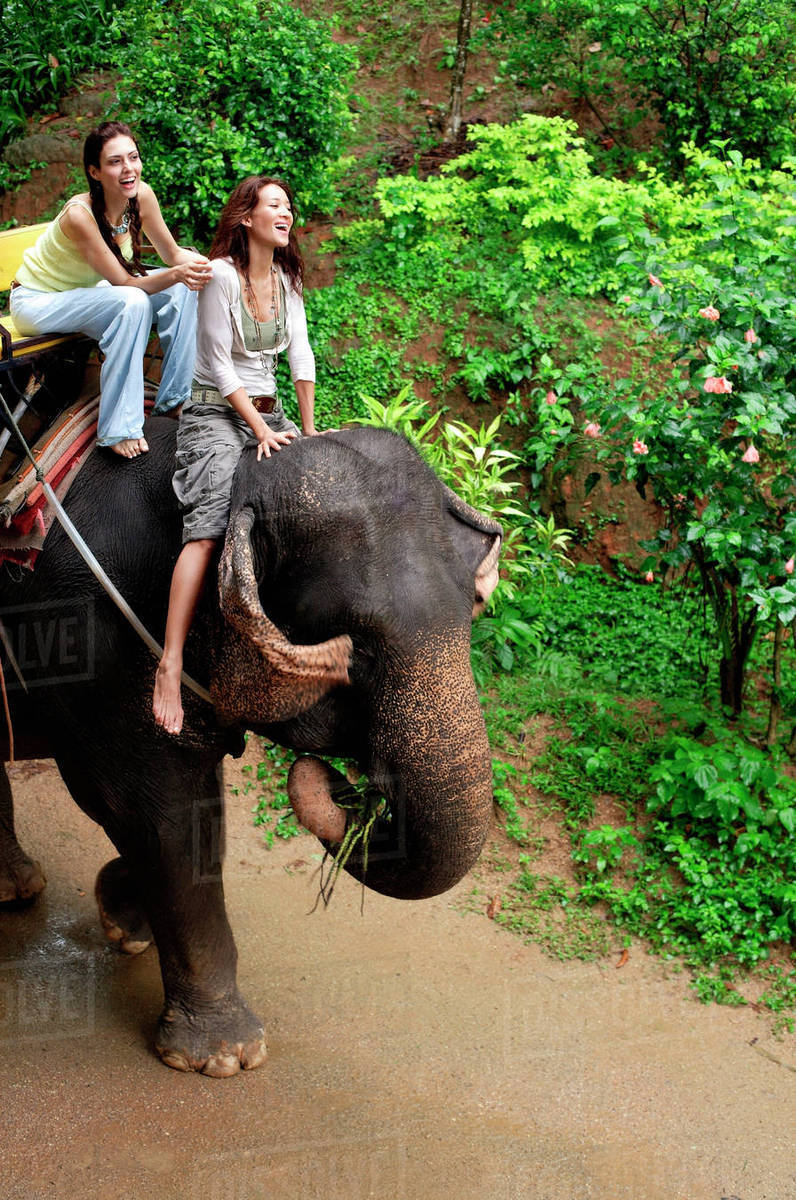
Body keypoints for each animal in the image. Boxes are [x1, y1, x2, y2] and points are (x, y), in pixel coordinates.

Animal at [0, 417, 501, 1075]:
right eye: (356, 649)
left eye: (471, 611)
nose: (331, 781)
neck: (229, 485)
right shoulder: (97, 643)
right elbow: (150, 812)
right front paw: (223, 1058)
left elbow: (193, 811)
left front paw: (124, 921)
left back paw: (16, 889)